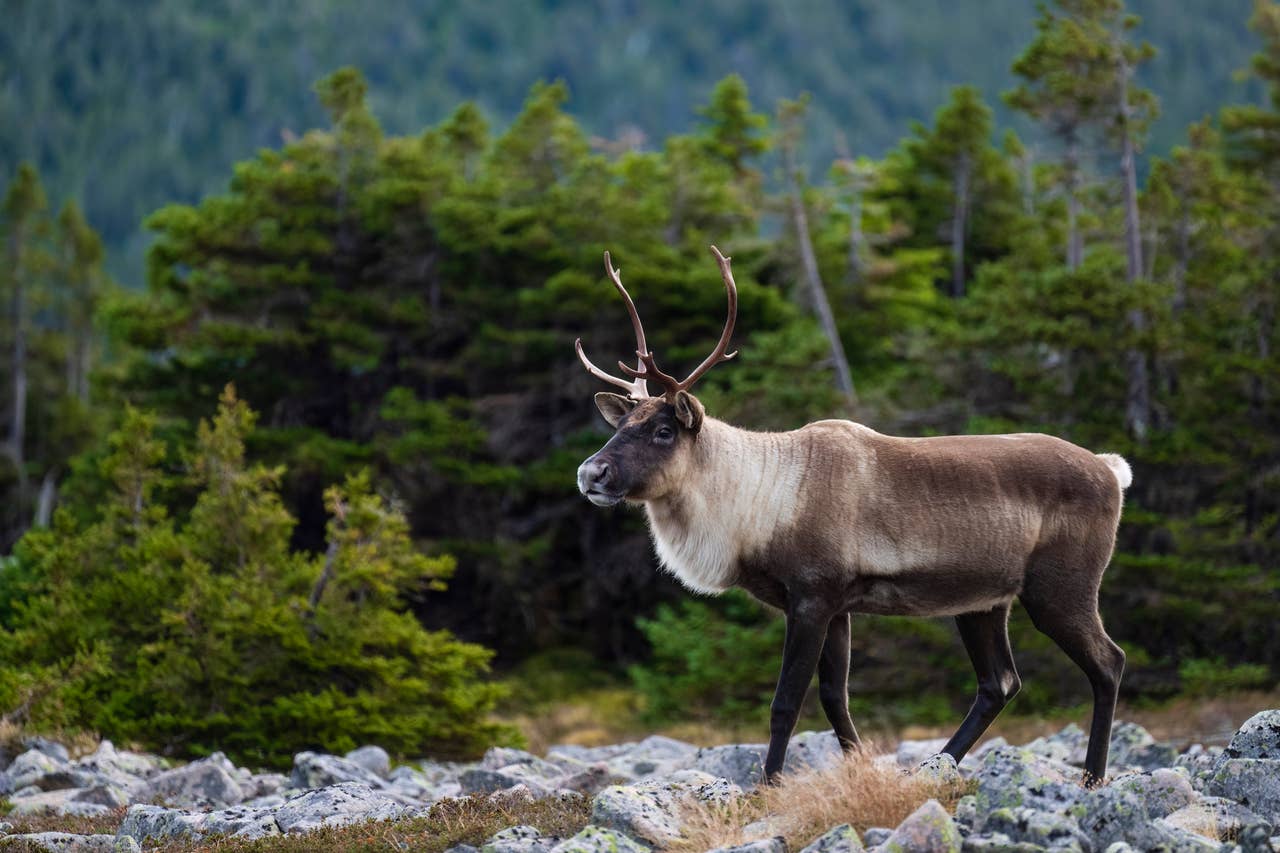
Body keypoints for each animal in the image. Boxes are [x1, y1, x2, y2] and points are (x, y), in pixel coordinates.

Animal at [574, 245, 1132, 787]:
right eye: (621, 424)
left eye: (664, 430)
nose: (590, 473)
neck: (756, 505)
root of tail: (1111, 469)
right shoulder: (837, 606)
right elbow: (834, 699)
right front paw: (861, 769)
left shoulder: (812, 595)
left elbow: (786, 702)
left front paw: (768, 787)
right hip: (983, 601)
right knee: (999, 683)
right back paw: (934, 768)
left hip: (1061, 586)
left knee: (1108, 662)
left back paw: (1093, 778)